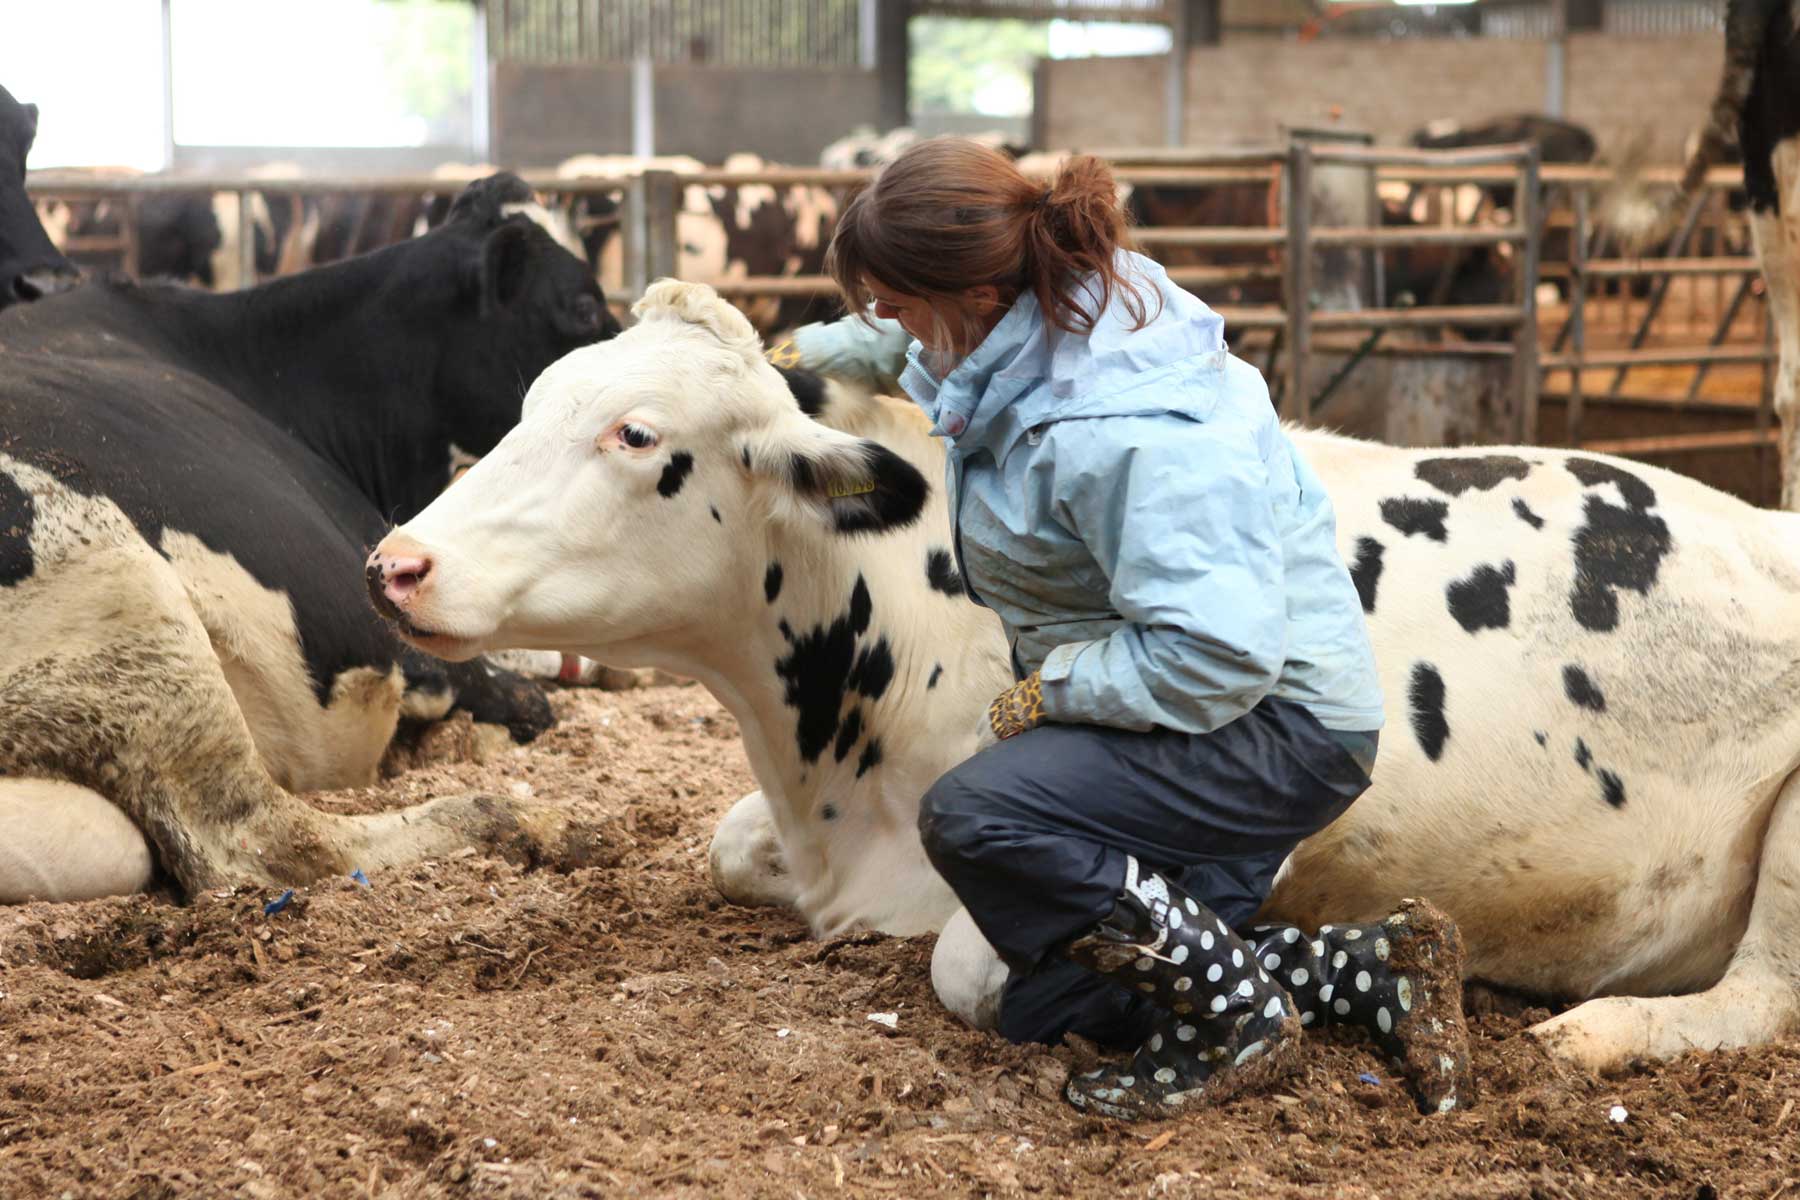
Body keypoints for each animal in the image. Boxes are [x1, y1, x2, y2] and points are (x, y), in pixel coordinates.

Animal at [371, 280, 1800, 1078]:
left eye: (636, 434)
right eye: (531, 401)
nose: (397, 562)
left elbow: (989, 963)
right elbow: (725, 845)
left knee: (1762, 996)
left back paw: (1595, 1035)